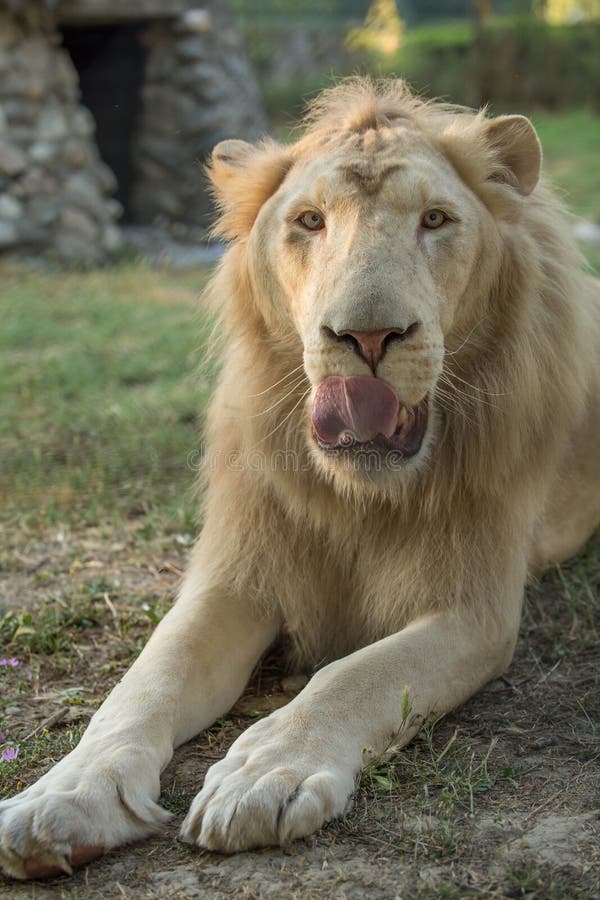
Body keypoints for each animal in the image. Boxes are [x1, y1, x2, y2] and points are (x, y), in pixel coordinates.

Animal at [1, 78, 598, 880]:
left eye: (435, 219)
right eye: (309, 221)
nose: (368, 336)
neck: (357, 494)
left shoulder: (474, 613)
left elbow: (355, 675)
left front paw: (266, 772)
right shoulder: (236, 578)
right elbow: (143, 684)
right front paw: (61, 799)